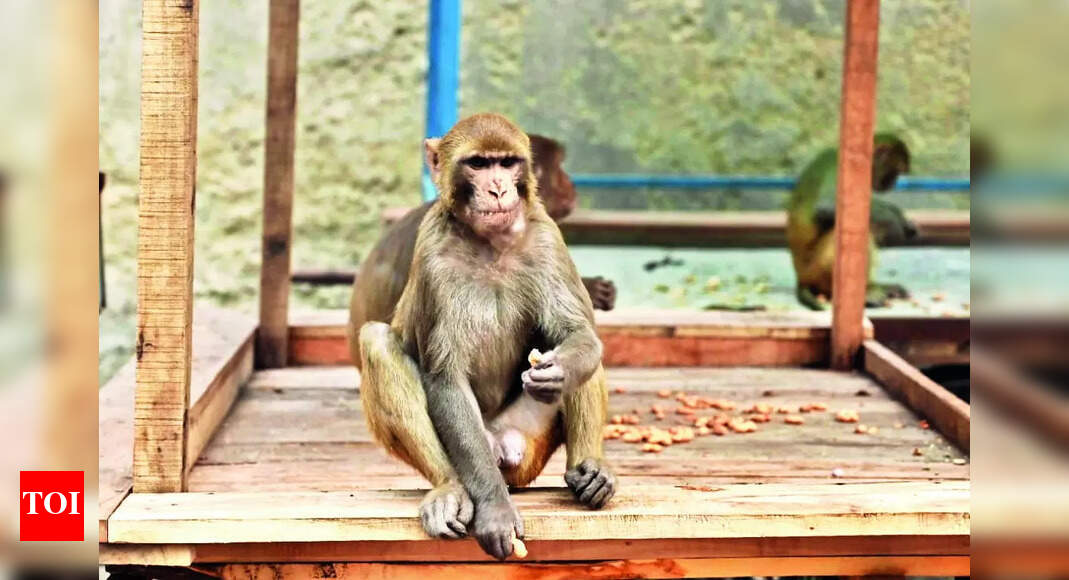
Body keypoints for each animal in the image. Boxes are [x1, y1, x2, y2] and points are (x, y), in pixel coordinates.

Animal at [786, 133, 916, 310]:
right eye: (893, 173)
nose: (892, 184)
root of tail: (801, 277)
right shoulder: (836, 165)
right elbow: (825, 205)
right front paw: (893, 218)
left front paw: (901, 218)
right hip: (816, 269)